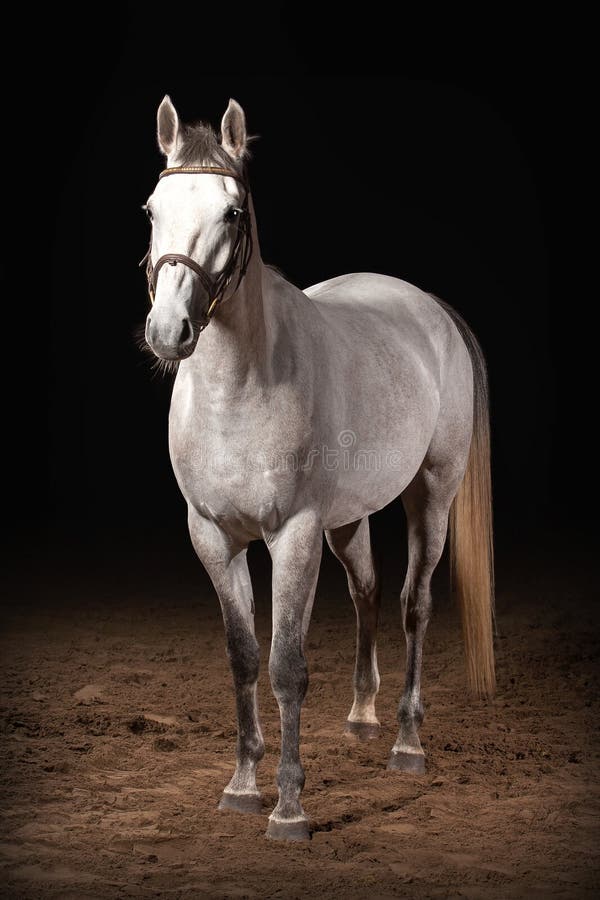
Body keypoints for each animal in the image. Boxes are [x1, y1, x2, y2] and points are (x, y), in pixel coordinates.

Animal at [141, 96, 495, 842]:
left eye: (232, 212)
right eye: (152, 208)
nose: (167, 332)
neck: (239, 389)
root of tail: (429, 307)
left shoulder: (294, 535)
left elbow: (287, 666)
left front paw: (289, 808)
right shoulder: (213, 537)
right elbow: (244, 657)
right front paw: (242, 786)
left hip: (432, 495)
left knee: (413, 604)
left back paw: (406, 743)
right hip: (347, 519)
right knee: (367, 591)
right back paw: (362, 717)